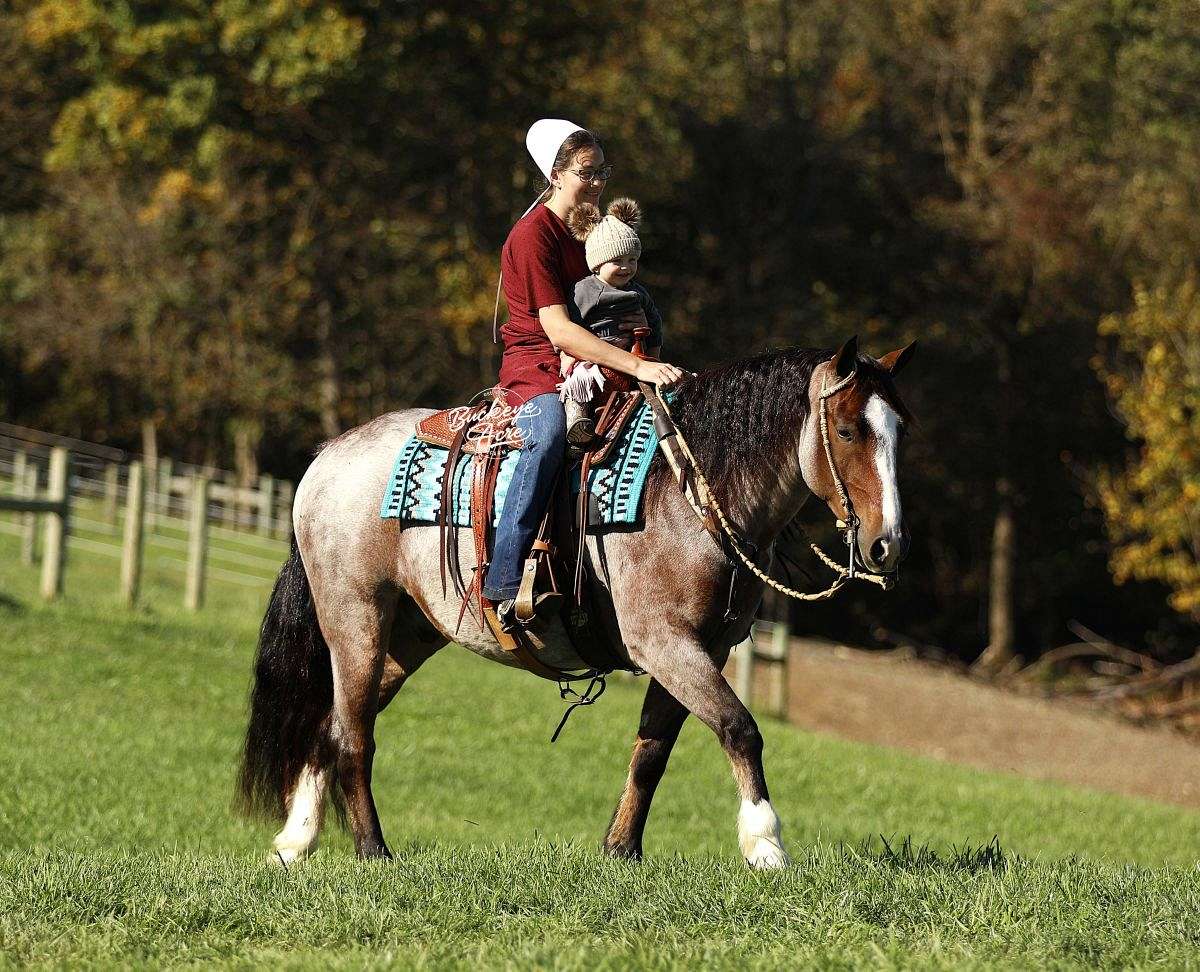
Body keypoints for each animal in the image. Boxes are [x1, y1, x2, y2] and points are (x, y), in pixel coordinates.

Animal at [237, 336, 915, 868]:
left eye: (899, 431)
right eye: (849, 430)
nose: (888, 545)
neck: (689, 489)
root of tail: (326, 458)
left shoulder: (702, 650)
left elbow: (652, 753)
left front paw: (622, 851)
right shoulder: (665, 644)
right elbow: (739, 727)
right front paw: (765, 845)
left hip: (408, 635)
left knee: (330, 726)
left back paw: (295, 842)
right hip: (356, 621)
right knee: (353, 734)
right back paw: (372, 850)